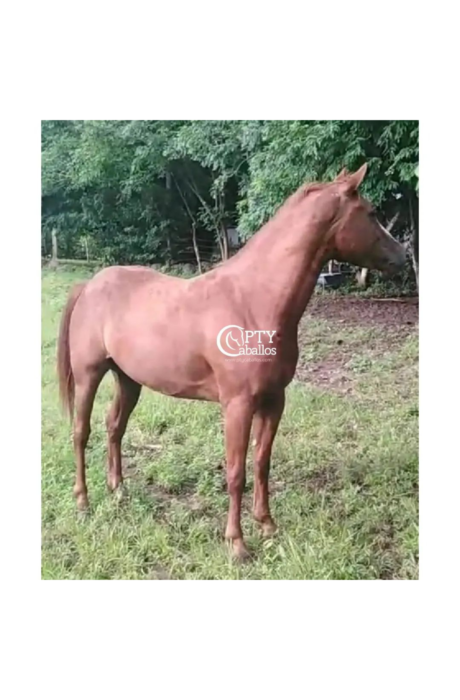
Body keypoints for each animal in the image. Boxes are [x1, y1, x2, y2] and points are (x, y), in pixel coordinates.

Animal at [57, 163, 406, 560]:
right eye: (372, 213)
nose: (403, 256)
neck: (253, 302)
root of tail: (89, 285)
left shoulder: (274, 401)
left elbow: (261, 462)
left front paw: (267, 525)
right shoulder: (237, 405)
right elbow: (236, 472)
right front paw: (237, 543)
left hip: (128, 379)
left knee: (114, 426)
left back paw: (118, 490)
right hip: (89, 375)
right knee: (81, 432)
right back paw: (83, 501)